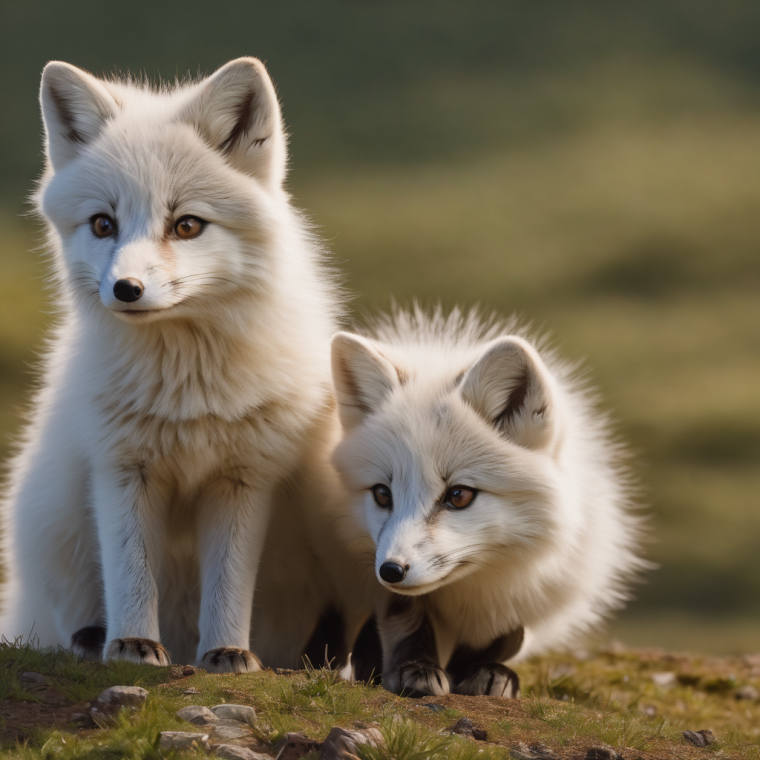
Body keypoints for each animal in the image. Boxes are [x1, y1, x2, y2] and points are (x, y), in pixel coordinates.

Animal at [0, 57, 341, 672]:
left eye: (186, 225)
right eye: (103, 224)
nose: (126, 289)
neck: (186, 391)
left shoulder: (243, 479)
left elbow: (229, 582)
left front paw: (227, 651)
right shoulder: (121, 469)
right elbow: (131, 575)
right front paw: (133, 646)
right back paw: (93, 639)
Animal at [328, 308, 649, 696]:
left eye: (459, 495)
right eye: (382, 494)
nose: (391, 570)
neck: (474, 589)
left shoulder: (531, 592)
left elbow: (509, 636)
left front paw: (485, 671)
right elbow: (407, 619)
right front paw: (413, 668)